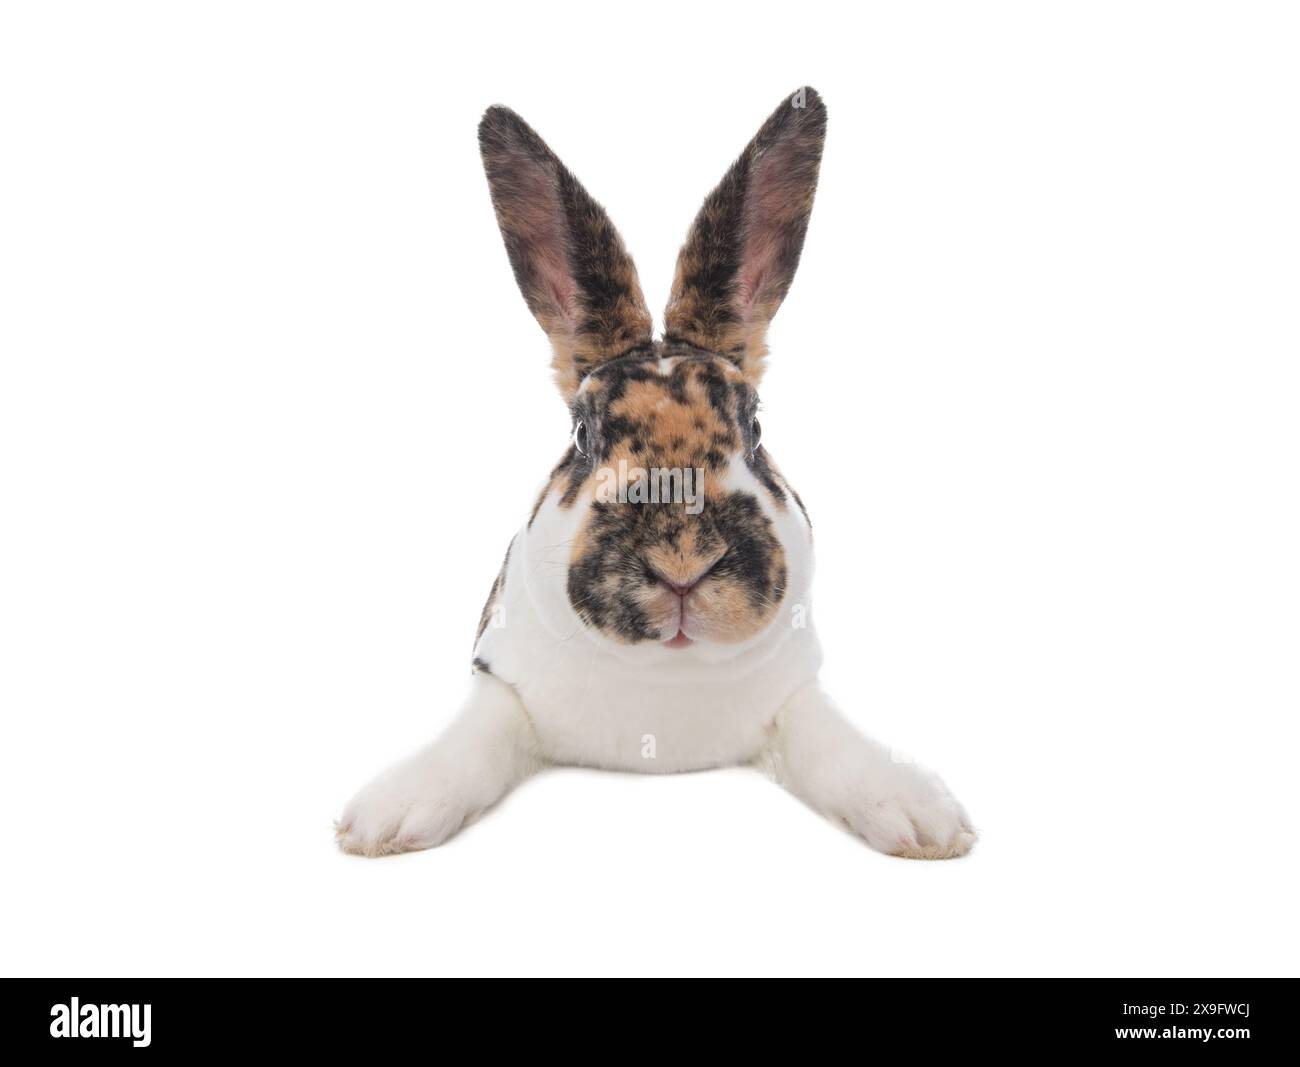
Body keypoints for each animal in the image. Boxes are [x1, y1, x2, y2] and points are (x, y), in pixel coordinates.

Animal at [336, 87, 976, 860]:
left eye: (754, 429)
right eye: (583, 434)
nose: (683, 563)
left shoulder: (796, 695)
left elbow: (832, 743)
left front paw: (921, 814)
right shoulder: (499, 682)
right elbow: (475, 739)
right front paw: (388, 814)